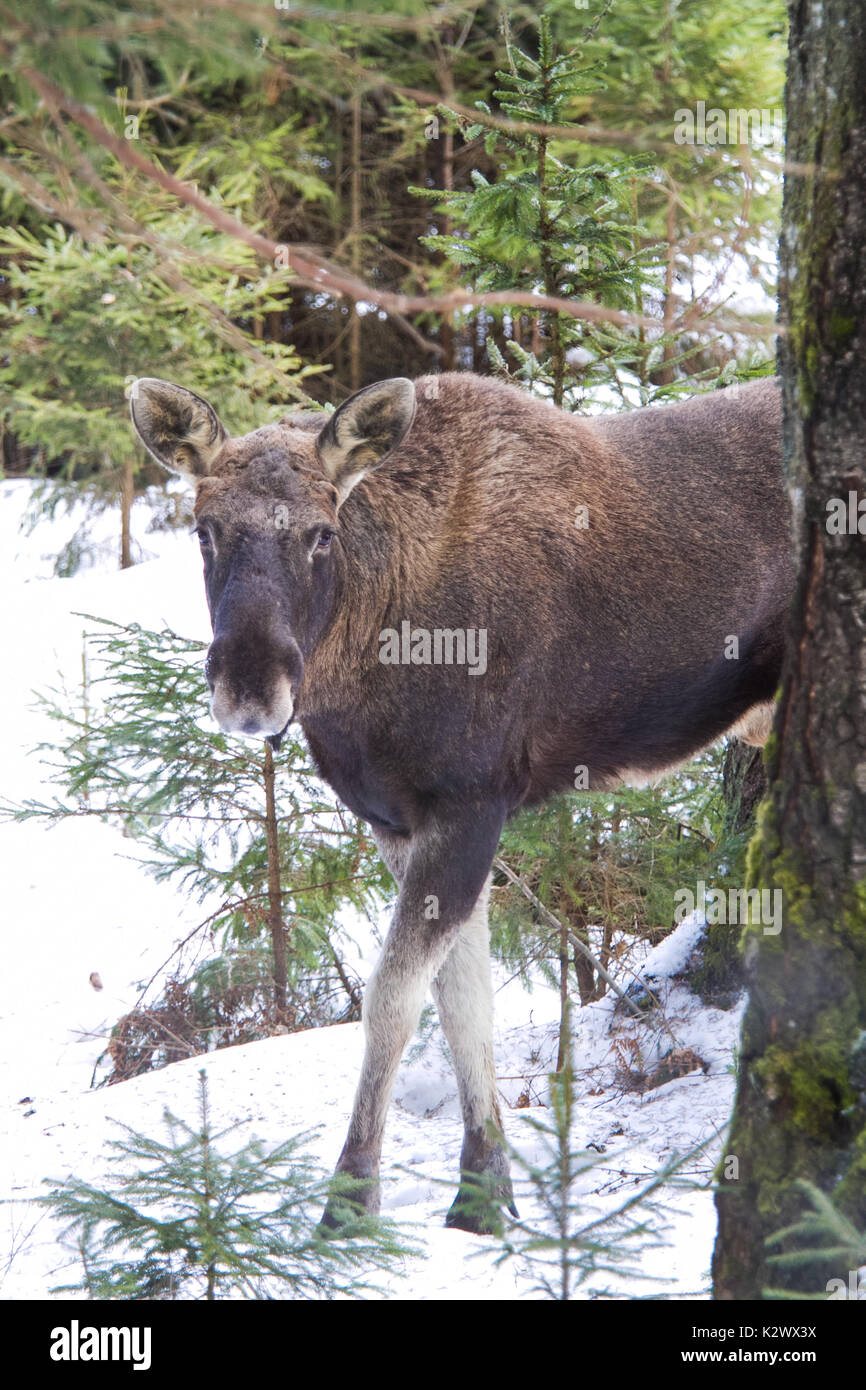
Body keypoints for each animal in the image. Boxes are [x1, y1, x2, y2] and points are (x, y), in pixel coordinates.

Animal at [130, 369, 792, 1232]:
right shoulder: (398, 820)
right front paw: (484, 1194)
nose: (249, 688)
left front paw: (351, 1202)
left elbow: (392, 1000)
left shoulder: (469, 802)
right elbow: (462, 1004)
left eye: (321, 534)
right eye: (205, 530)